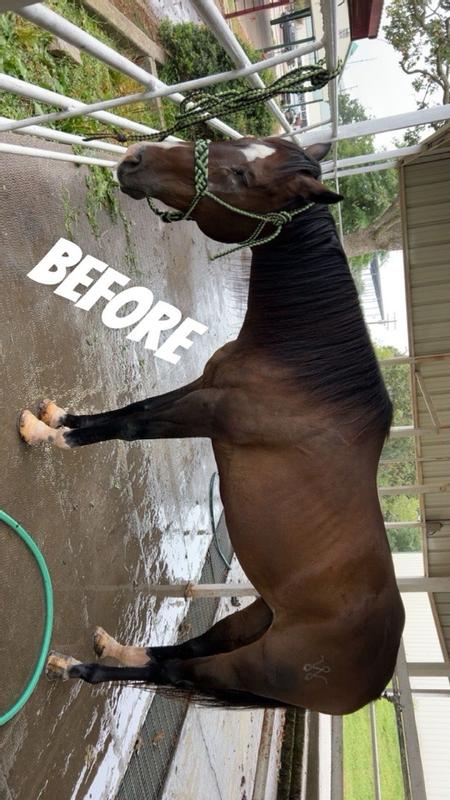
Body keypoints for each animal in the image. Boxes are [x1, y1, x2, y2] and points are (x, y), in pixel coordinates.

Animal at [19, 136, 405, 715]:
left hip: (251, 664)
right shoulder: (202, 387)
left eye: (243, 177)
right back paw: (117, 647)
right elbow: (130, 410)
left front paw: (46, 436)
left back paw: (76, 668)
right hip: (249, 620)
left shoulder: (205, 413)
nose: (135, 160)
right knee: (181, 651)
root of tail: (371, 685)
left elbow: (127, 428)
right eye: (237, 144)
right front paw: (56, 416)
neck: (303, 373)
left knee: (177, 671)